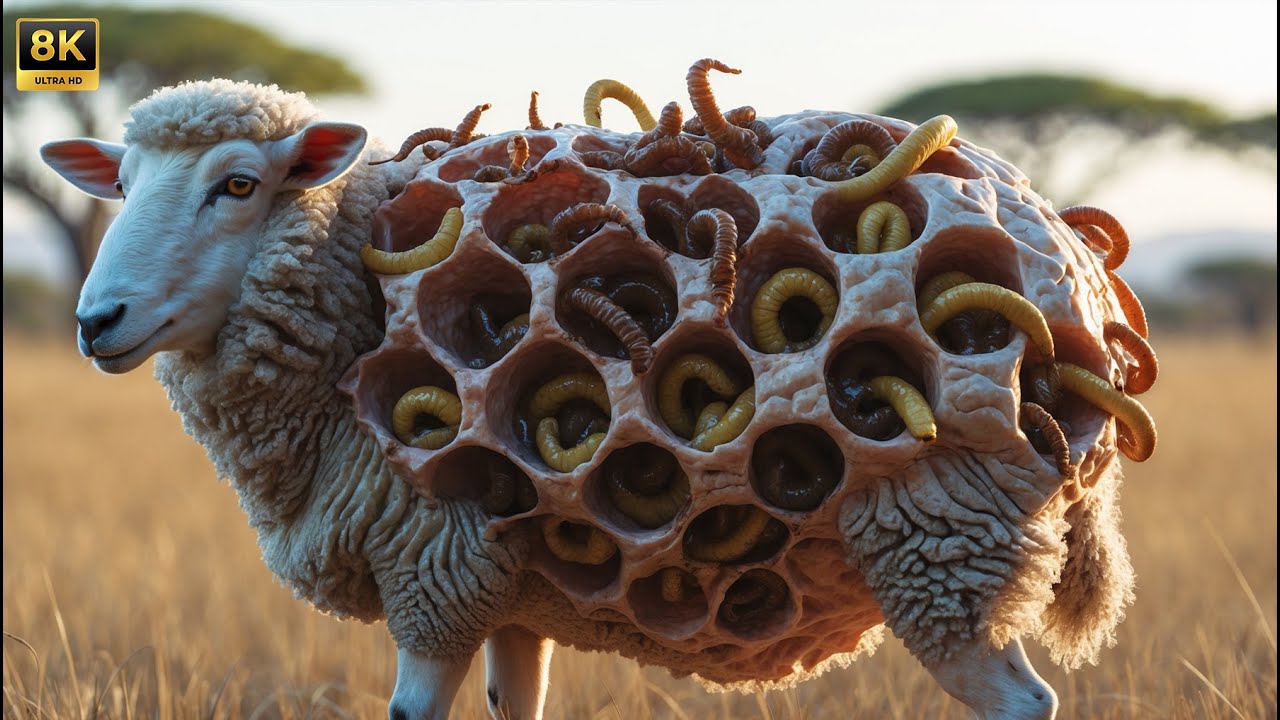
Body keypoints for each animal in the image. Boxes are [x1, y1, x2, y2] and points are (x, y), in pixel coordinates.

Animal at [42, 77, 1144, 720]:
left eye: (237, 184)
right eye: (121, 183)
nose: (96, 320)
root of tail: (1074, 269)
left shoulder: (433, 570)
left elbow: (412, 712)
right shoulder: (509, 589)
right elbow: (514, 706)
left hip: (941, 535)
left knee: (1022, 704)